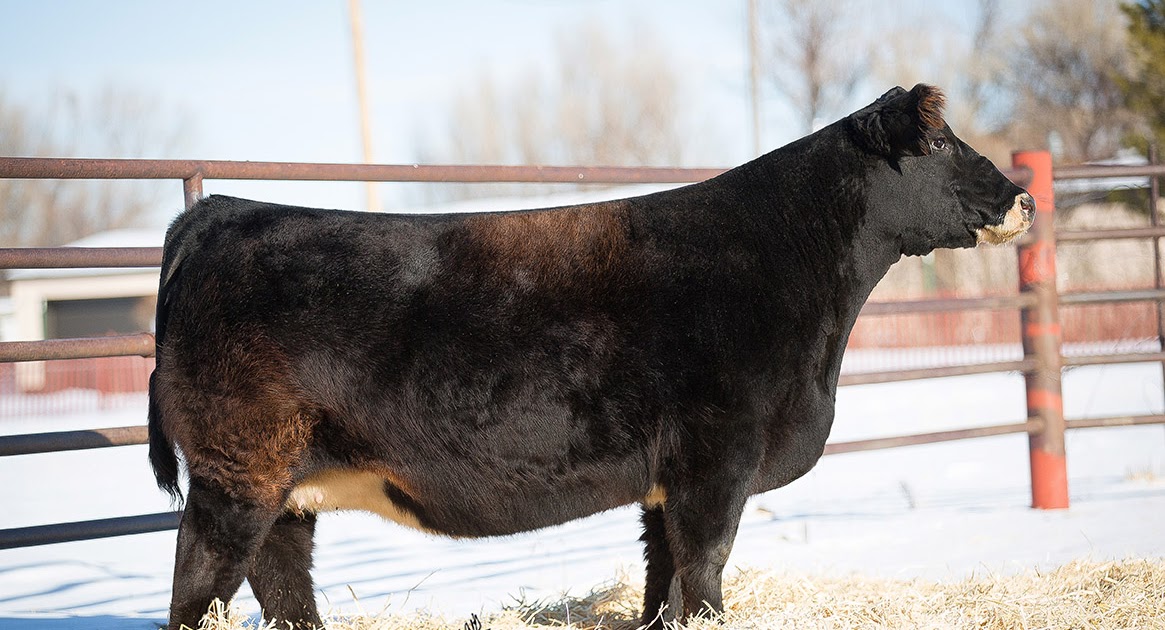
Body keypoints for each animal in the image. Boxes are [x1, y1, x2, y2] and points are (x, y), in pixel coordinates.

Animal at [148, 84, 1033, 630]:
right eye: (940, 143)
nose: (1021, 196)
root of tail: (218, 211)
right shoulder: (716, 461)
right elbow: (705, 575)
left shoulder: (664, 481)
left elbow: (663, 586)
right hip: (236, 475)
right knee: (197, 585)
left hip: (284, 491)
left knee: (282, 585)